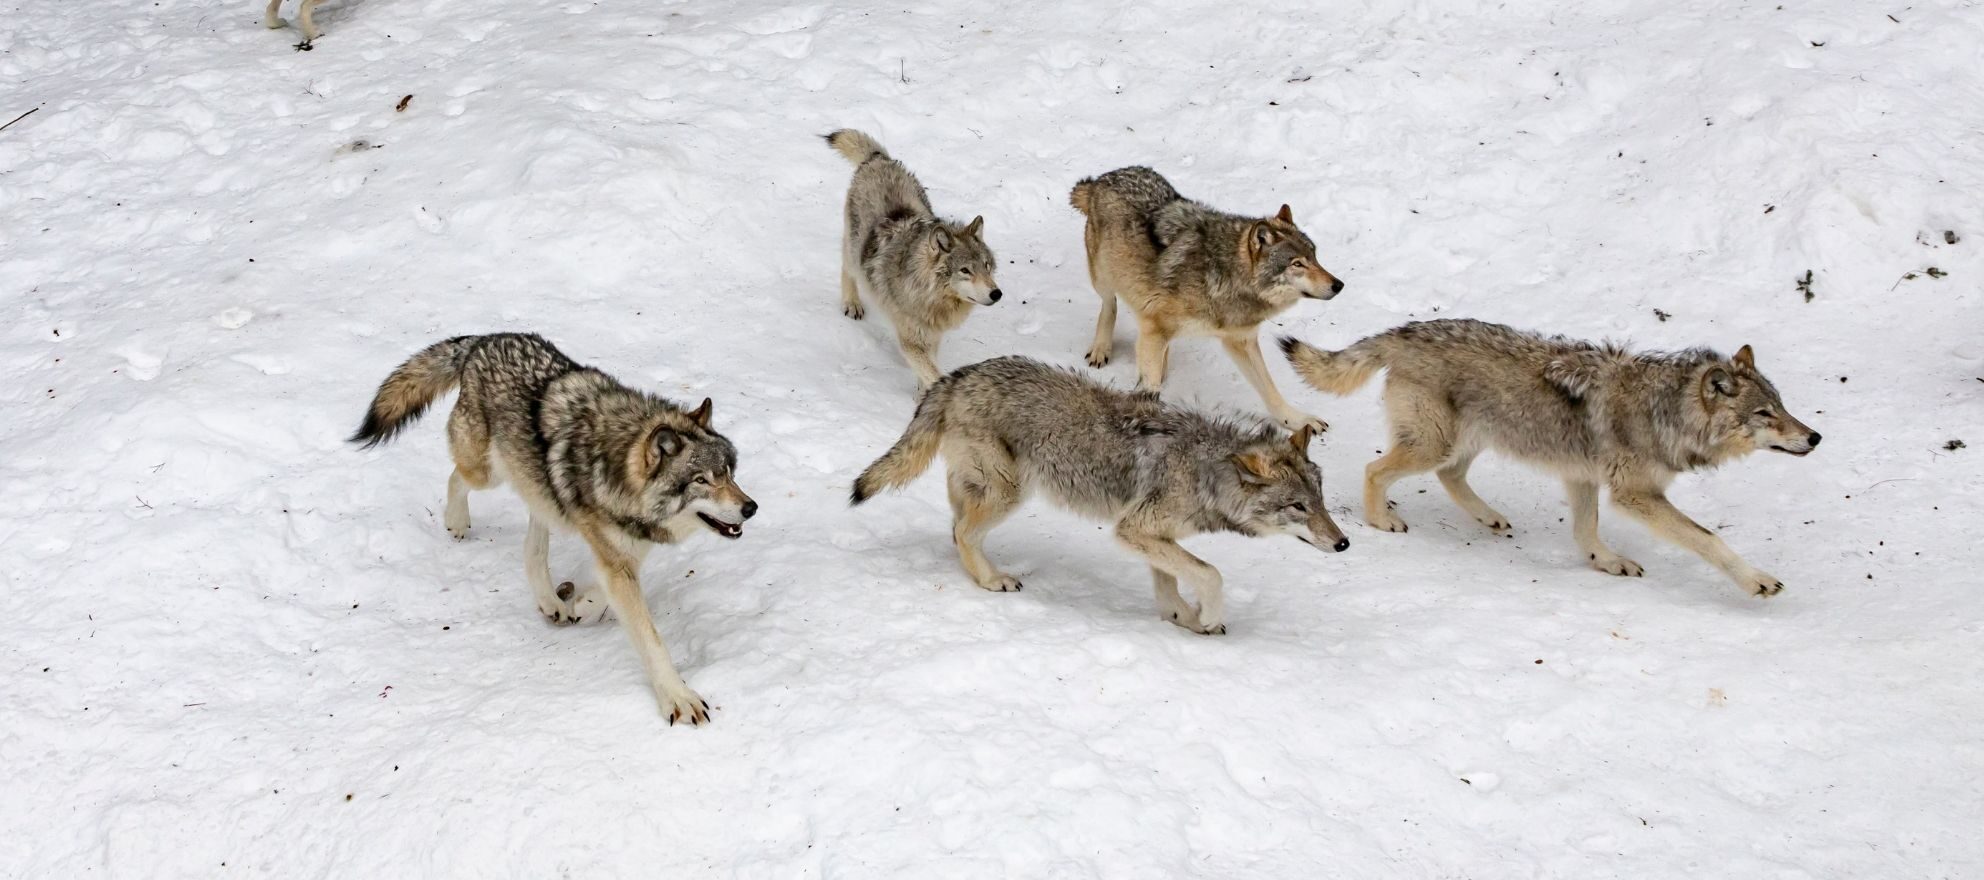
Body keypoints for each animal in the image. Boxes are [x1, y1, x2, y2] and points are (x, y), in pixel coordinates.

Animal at [351, 333, 758, 725]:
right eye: (702, 480)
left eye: (729, 473)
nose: (750, 508)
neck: (617, 469)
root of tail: (483, 340)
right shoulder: (618, 560)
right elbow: (651, 639)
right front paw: (678, 698)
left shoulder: (625, 553)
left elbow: (602, 593)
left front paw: (582, 604)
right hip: (487, 473)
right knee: (457, 478)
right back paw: (457, 522)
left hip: (538, 490)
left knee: (533, 545)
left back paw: (550, 601)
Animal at [827, 129, 1003, 389]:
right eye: (965, 271)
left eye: (987, 266)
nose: (996, 293)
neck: (930, 296)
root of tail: (879, 160)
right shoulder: (911, 342)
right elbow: (932, 372)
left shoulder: (933, 337)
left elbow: (927, 371)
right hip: (854, 249)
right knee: (846, 268)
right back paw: (852, 304)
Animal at [850, 356, 1348, 634]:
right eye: (1298, 507)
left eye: (1321, 501)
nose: (1344, 543)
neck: (1206, 470)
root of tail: (957, 375)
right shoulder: (1134, 530)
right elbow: (1211, 574)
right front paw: (1205, 616)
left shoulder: (1152, 536)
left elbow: (1171, 584)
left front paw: (1184, 620)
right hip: (1010, 492)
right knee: (962, 532)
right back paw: (993, 580)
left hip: (988, 488)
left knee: (955, 526)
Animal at [1069, 166, 1343, 433]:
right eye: (1297, 264)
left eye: (1315, 257)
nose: (1339, 285)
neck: (1223, 276)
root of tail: (1104, 178)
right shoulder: (1155, 328)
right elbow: (1150, 385)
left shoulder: (1241, 340)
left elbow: (1270, 390)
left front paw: (1298, 421)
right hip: (1103, 277)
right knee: (1110, 305)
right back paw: (1101, 349)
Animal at [1280, 319, 1821, 596]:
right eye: (1765, 414)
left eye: (1783, 406)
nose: (1815, 437)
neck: (1665, 411)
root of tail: (1405, 330)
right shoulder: (1635, 495)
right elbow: (1709, 540)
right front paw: (1756, 580)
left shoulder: (1583, 477)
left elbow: (1586, 532)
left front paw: (1606, 562)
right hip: (1435, 443)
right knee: (1375, 470)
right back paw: (1382, 521)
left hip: (1467, 441)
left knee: (1450, 476)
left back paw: (1490, 518)